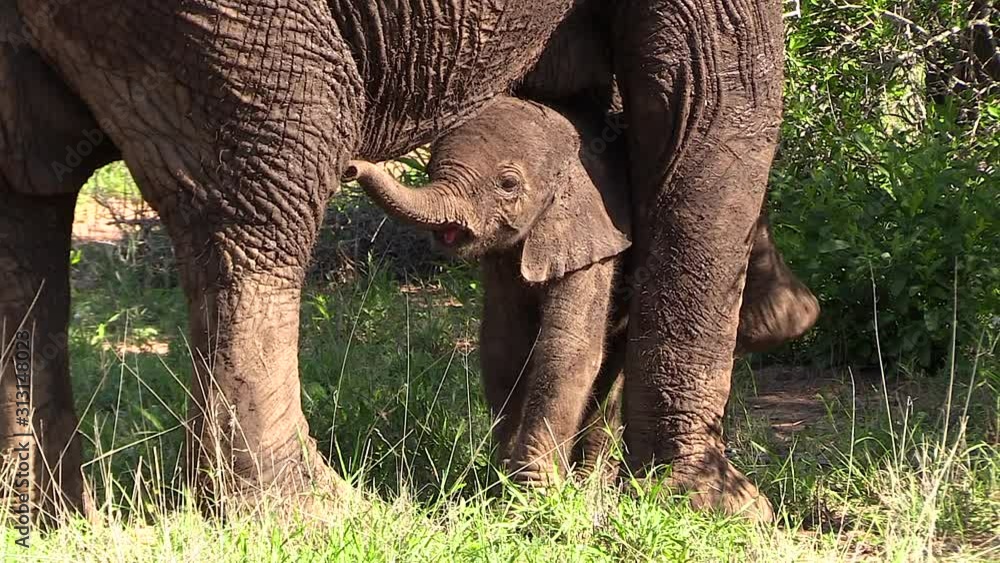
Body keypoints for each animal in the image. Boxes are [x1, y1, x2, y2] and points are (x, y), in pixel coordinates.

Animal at [0, 0, 817, 522]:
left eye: (511, 184)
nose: (365, 162)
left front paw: (548, 494)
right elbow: (721, 87)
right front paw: (719, 506)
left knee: (27, 228)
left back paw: (51, 522)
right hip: (225, 31)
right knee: (267, 189)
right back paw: (317, 517)